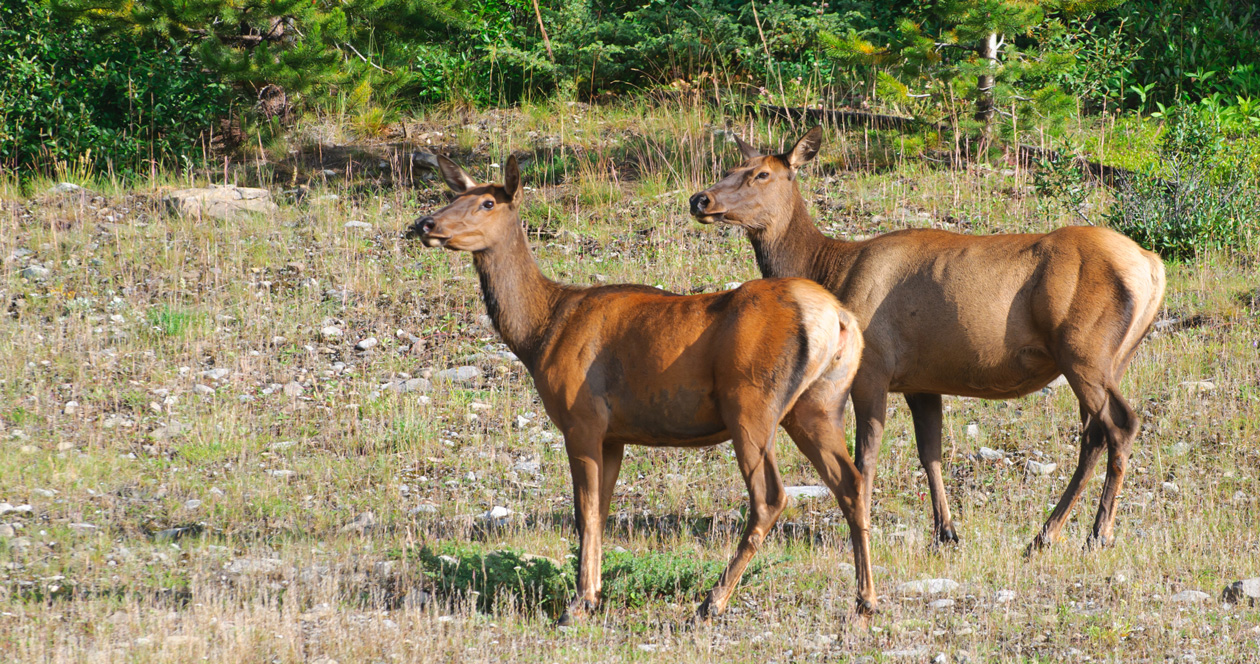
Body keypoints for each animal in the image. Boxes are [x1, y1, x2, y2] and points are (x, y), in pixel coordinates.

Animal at [407, 153, 877, 622]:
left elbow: (585, 512)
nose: (425, 223)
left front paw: (579, 601)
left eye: (487, 202)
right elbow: (601, 510)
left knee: (771, 497)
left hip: (751, 403)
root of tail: (838, 318)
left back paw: (713, 600)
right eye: (454, 195)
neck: (540, 334)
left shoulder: (582, 419)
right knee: (850, 483)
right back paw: (865, 598)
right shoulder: (614, 435)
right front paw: (593, 593)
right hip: (818, 404)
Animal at [690, 126, 1166, 554]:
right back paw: (1045, 535)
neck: (832, 271)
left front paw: (863, 529)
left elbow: (866, 455)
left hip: (1084, 351)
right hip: (1111, 358)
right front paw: (946, 532)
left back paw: (1098, 533)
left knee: (1120, 424)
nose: (701, 199)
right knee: (1093, 435)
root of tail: (1153, 265)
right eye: (732, 167)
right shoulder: (921, 382)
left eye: (761, 174)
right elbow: (930, 453)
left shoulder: (873, 367)